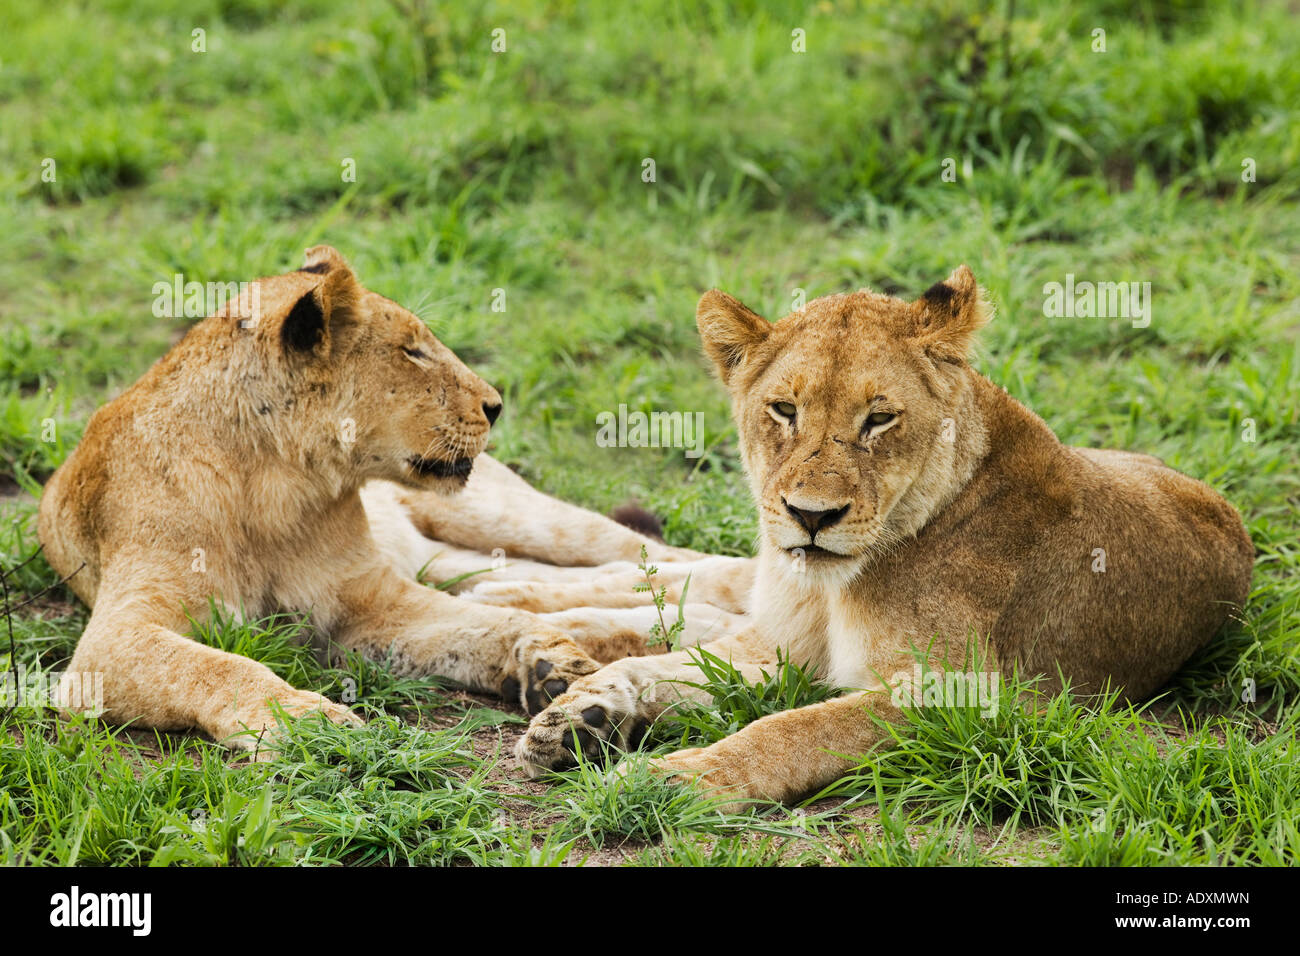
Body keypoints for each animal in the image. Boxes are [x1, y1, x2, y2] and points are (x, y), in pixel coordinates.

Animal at [37, 245, 752, 751]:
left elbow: (484, 624)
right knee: (543, 582)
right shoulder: (114, 638)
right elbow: (220, 667)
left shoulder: (369, 600)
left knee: (672, 557)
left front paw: (550, 660)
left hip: (516, 516)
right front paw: (310, 725)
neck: (277, 486)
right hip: (457, 556)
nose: (496, 404)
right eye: (412, 351)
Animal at [516, 266, 1255, 807]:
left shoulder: (968, 696)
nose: (811, 516)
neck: (834, 587)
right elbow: (666, 666)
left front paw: (672, 780)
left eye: (879, 418)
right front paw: (579, 717)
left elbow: (792, 729)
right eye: (783, 409)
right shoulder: (781, 648)